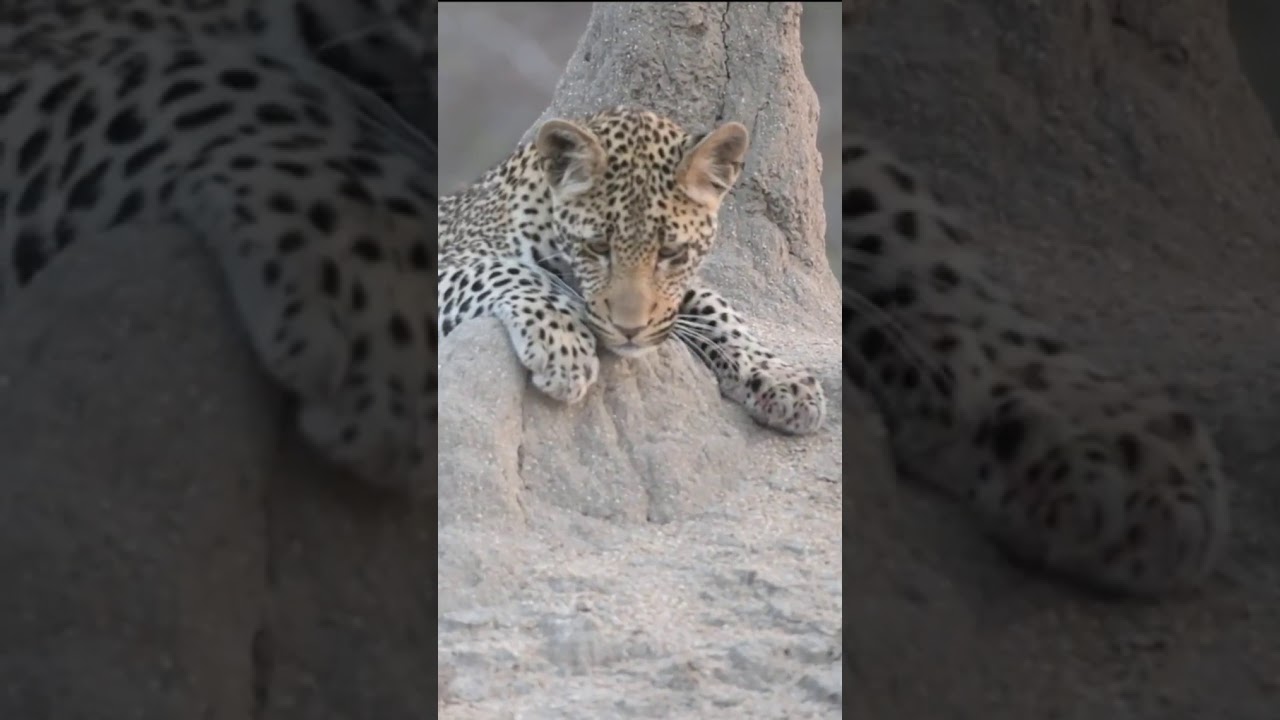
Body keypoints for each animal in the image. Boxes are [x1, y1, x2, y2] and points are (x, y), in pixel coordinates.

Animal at [438, 105, 827, 436]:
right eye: (598, 247)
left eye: (670, 252)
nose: (630, 331)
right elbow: (508, 270)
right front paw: (563, 344)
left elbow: (719, 309)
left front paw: (781, 378)